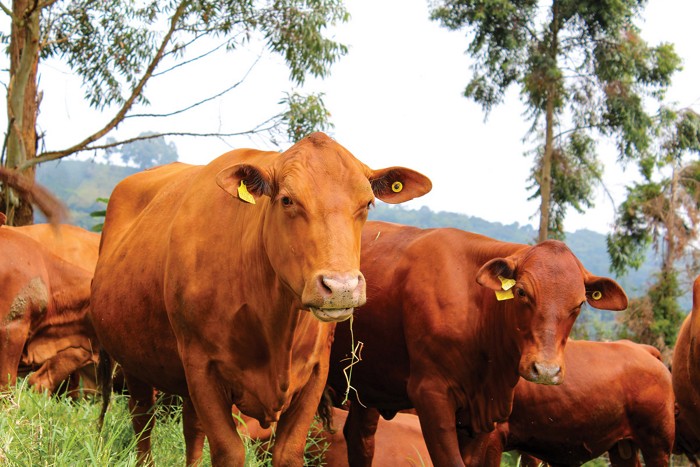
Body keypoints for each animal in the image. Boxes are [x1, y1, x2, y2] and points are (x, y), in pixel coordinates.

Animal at [88, 132, 432, 466]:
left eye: (367, 204)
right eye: (287, 200)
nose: (341, 287)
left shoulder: (315, 373)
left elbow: (288, 452)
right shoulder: (201, 367)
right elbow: (228, 451)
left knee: (191, 428)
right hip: (133, 360)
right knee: (142, 420)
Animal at [326, 220, 628, 466]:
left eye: (578, 305)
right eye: (521, 292)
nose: (545, 370)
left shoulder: (483, 414)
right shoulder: (430, 395)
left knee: (360, 440)